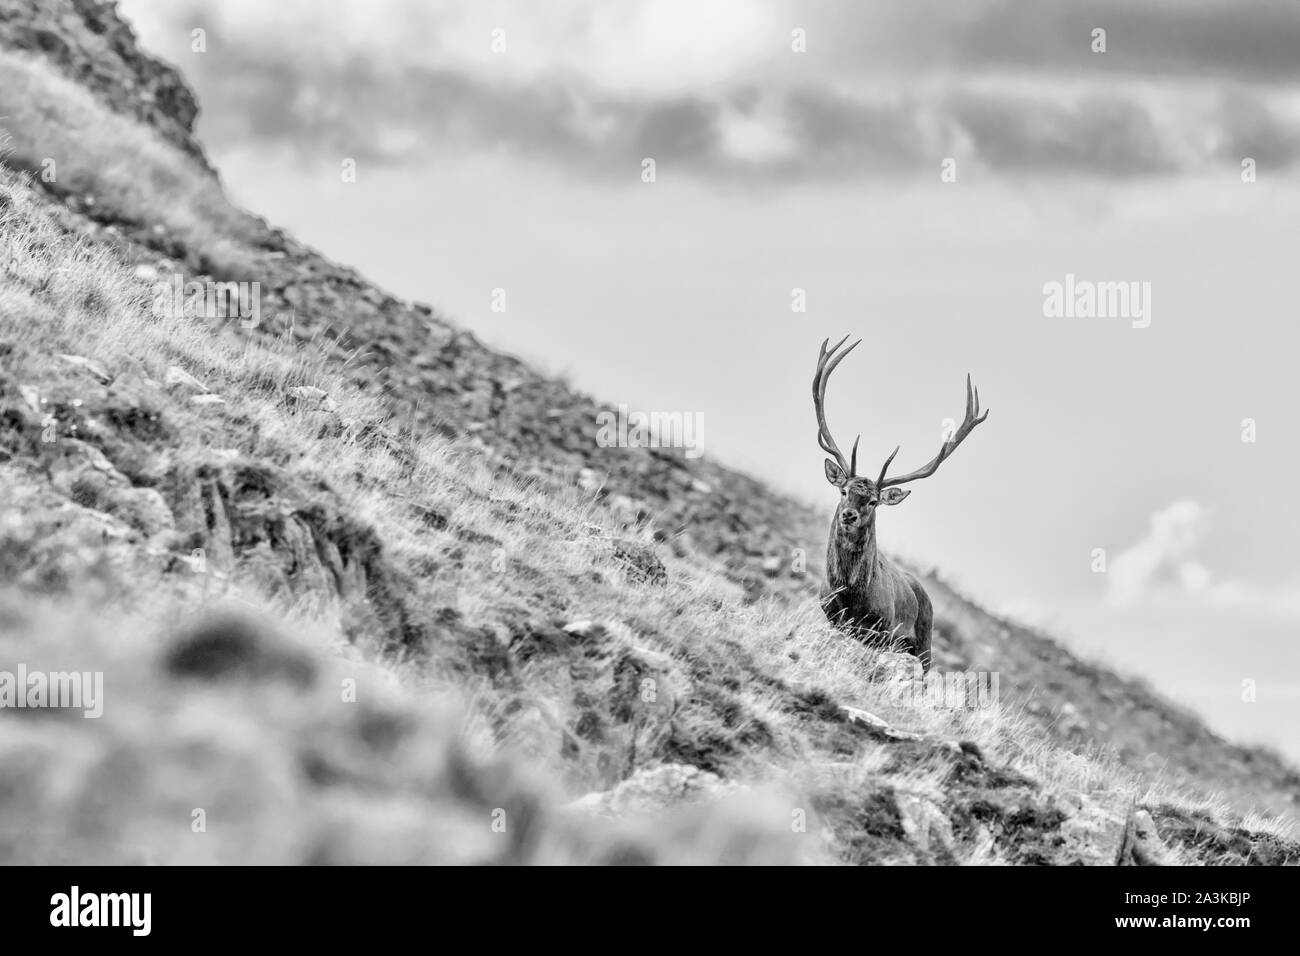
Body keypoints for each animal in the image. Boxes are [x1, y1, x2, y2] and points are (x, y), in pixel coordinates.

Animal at [812, 335, 989, 673]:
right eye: (843, 491)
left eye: (873, 501)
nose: (849, 515)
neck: (851, 596)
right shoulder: (830, 615)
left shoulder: (879, 629)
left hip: (924, 643)